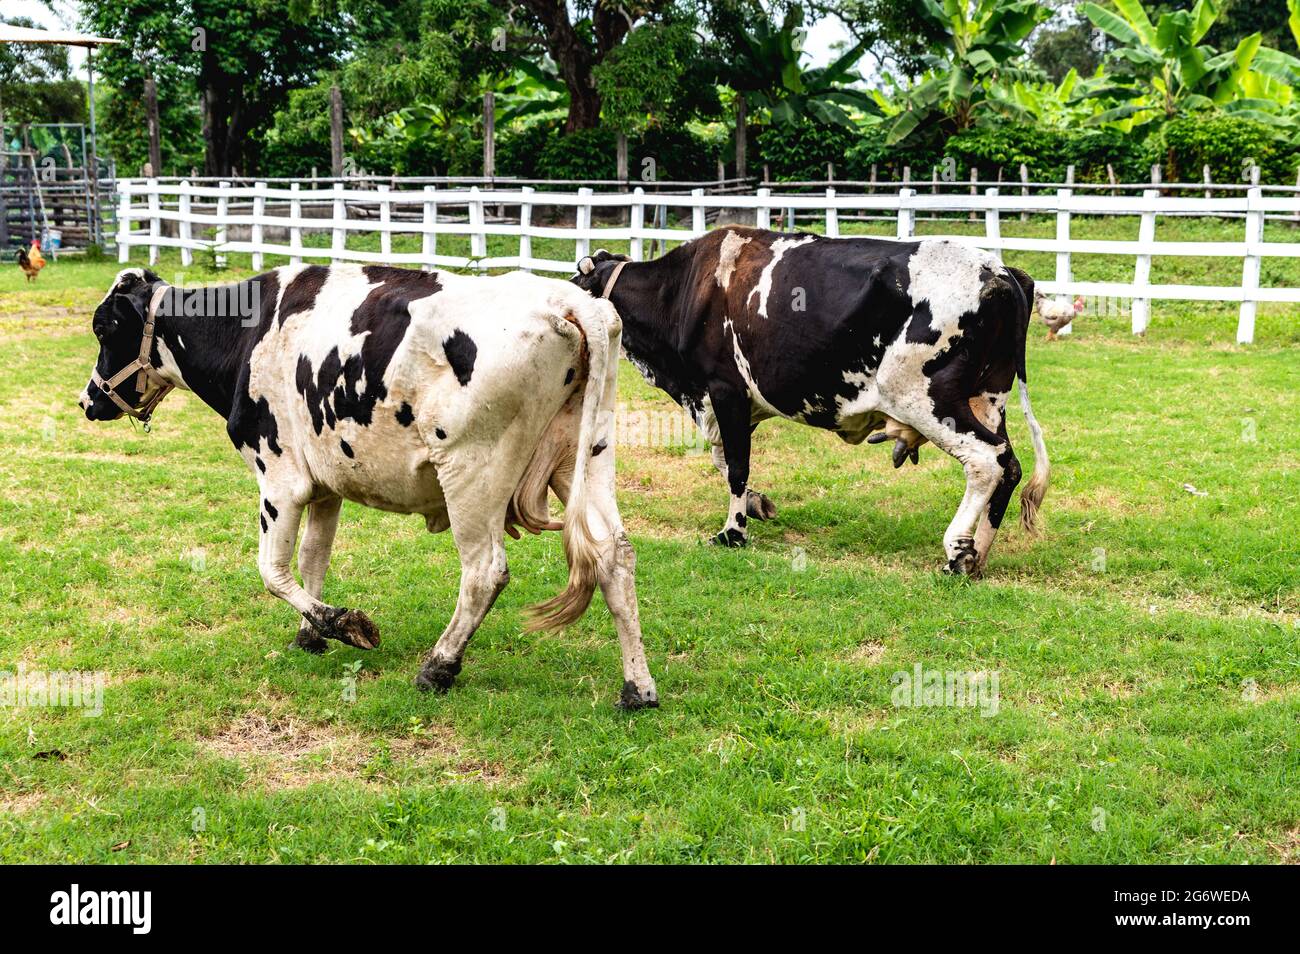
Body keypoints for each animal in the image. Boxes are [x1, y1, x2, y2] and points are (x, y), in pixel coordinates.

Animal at [78, 265, 660, 710]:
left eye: (105, 329)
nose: (88, 401)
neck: (247, 333)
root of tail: (567, 300)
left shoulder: (280, 477)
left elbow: (271, 570)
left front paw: (346, 624)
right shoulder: (325, 485)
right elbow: (312, 559)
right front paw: (311, 634)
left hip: (472, 469)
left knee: (485, 571)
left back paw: (438, 666)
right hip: (584, 453)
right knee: (614, 554)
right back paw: (638, 687)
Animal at [571, 228, 1050, 576]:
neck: (687, 289)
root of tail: (998, 270)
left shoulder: (725, 389)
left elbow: (736, 466)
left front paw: (732, 532)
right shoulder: (734, 404)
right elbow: (725, 461)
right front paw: (757, 505)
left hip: (924, 397)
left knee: (986, 460)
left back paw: (956, 552)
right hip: (987, 396)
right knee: (1010, 465)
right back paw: (978, 554)